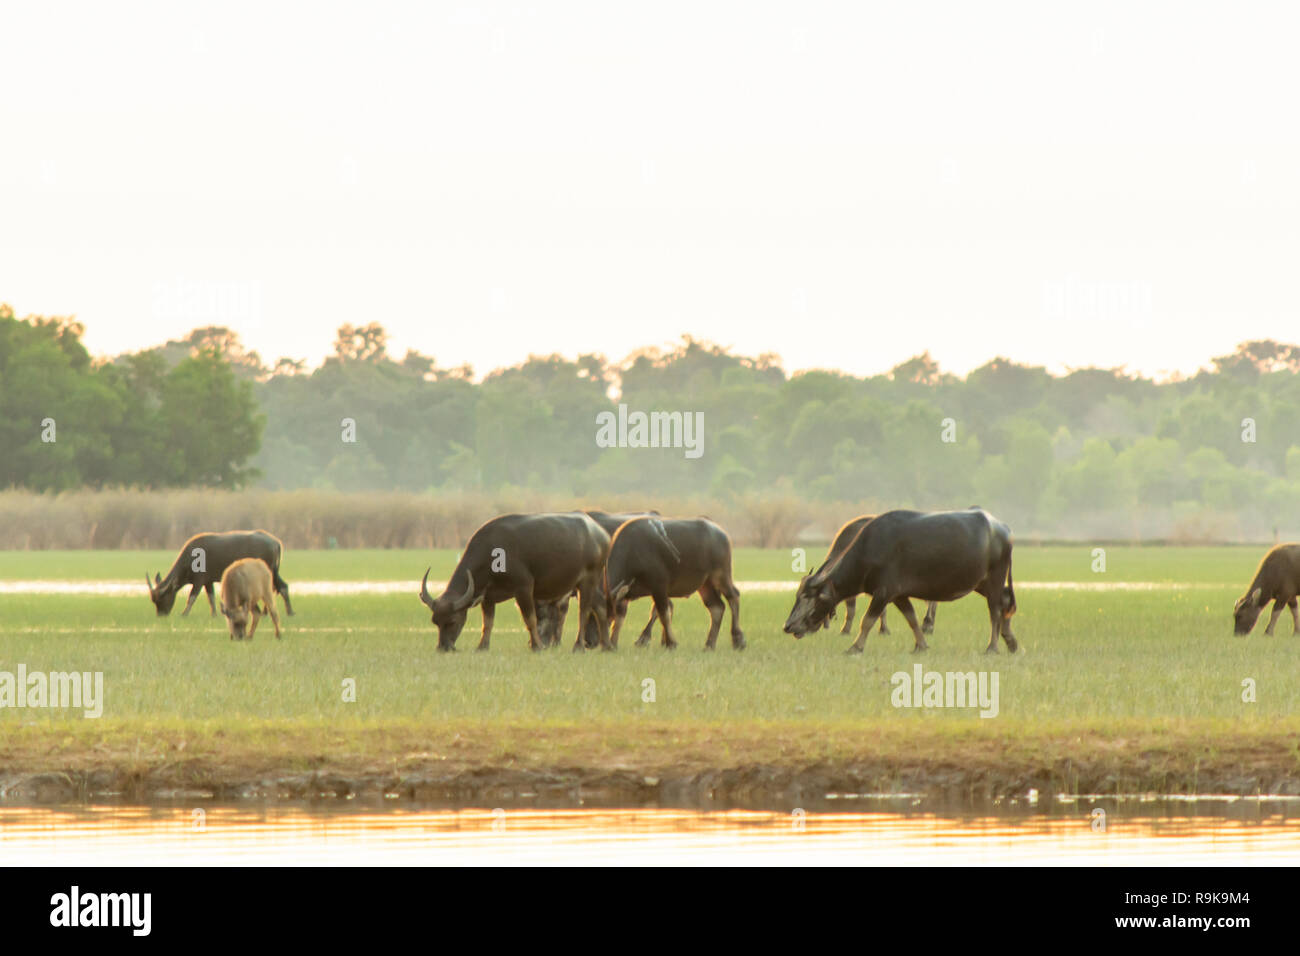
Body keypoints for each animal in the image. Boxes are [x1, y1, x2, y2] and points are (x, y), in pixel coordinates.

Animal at [147, 530, 293, 618]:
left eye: (162, 598)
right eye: (154, 600)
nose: (161, 615)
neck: (191, 558)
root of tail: (275, 543)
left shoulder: (199, 580)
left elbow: (192, 597)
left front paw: (184, 614)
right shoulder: (208, 581)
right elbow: (211, 598)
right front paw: (214, 614)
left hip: (268, 573)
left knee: (275, 589)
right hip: (274, 572)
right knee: (281, 587)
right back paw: (281, 612)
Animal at [420, 512, 610, 652]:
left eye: (452, 621)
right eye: (435, 622)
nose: (443, 647)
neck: (492, 554)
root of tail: (602, 534)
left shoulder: (524, 588)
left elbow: (530, 619)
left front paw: (537, 646)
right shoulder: (487, 597)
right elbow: (487, 623)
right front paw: (482, 647)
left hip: (588, 580)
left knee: (584, 611)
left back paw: (579, 647)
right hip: (591, 582)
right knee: (601, 607)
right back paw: (607, 646)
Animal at [604, 516, 745, 651]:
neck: (633, 552)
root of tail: (722, 533)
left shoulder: (659, 586)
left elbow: (663, 614)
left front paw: (670, 643)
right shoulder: (626, 595)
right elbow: (620, 619)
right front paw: (613, 643)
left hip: (721, 575)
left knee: (733, 597)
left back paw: (738, 640)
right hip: (705, 584)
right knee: (716, 607)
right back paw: (709, 645)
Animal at [783, 507, 1016, 654]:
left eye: (810, 597)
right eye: (797, 596)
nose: (788, 626)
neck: (870, 550)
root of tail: (1004, 528)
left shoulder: (883, 592)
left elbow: (867, 620)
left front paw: (855, 647)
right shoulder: (899, 595)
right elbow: (911, 618)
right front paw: (921, 646)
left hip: (995, 577)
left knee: (995, 610)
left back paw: (992, 647)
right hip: (981, 583)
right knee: (1005, 601)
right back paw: (1011, 642)